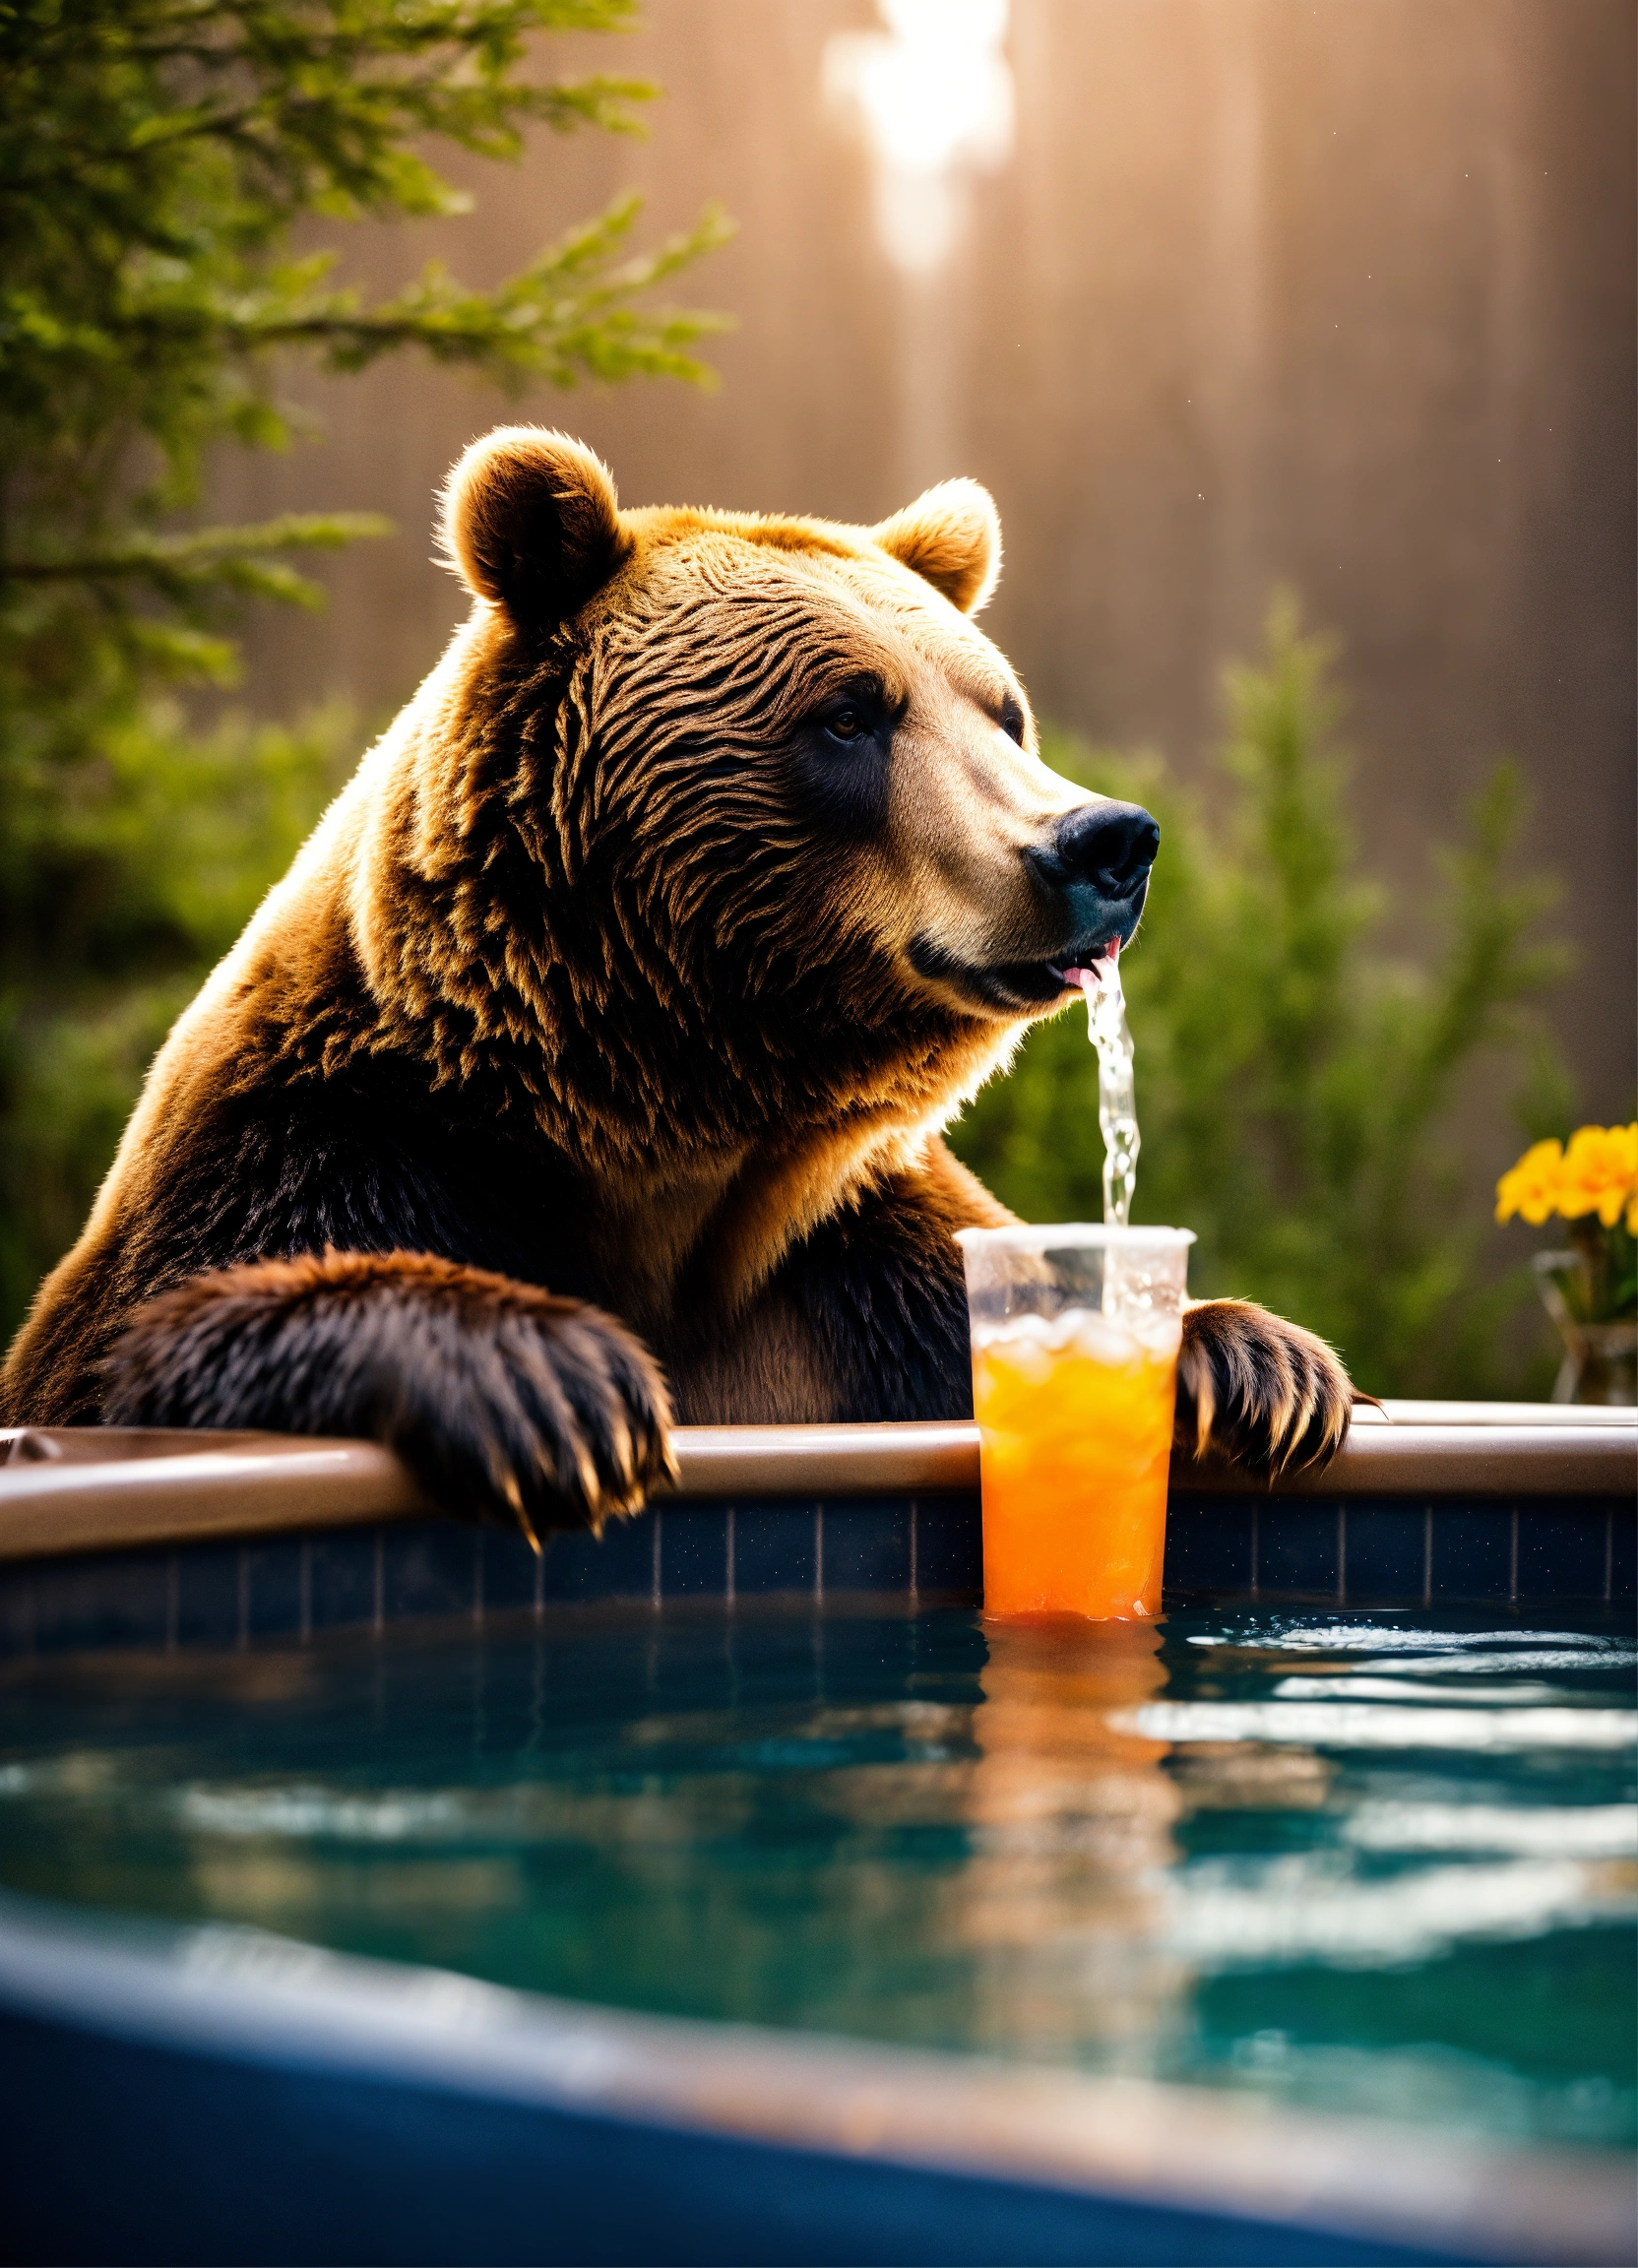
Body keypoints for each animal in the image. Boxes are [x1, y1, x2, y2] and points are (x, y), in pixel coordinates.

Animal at [1, 428, 1356, 1537]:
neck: (654, 1112)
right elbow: (159, 1336)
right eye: (850, 713)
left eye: (1001, 712)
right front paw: (551, 1383)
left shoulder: (844, 1259)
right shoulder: (335, 1146)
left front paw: (1255, 1368)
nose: (1101, 842)